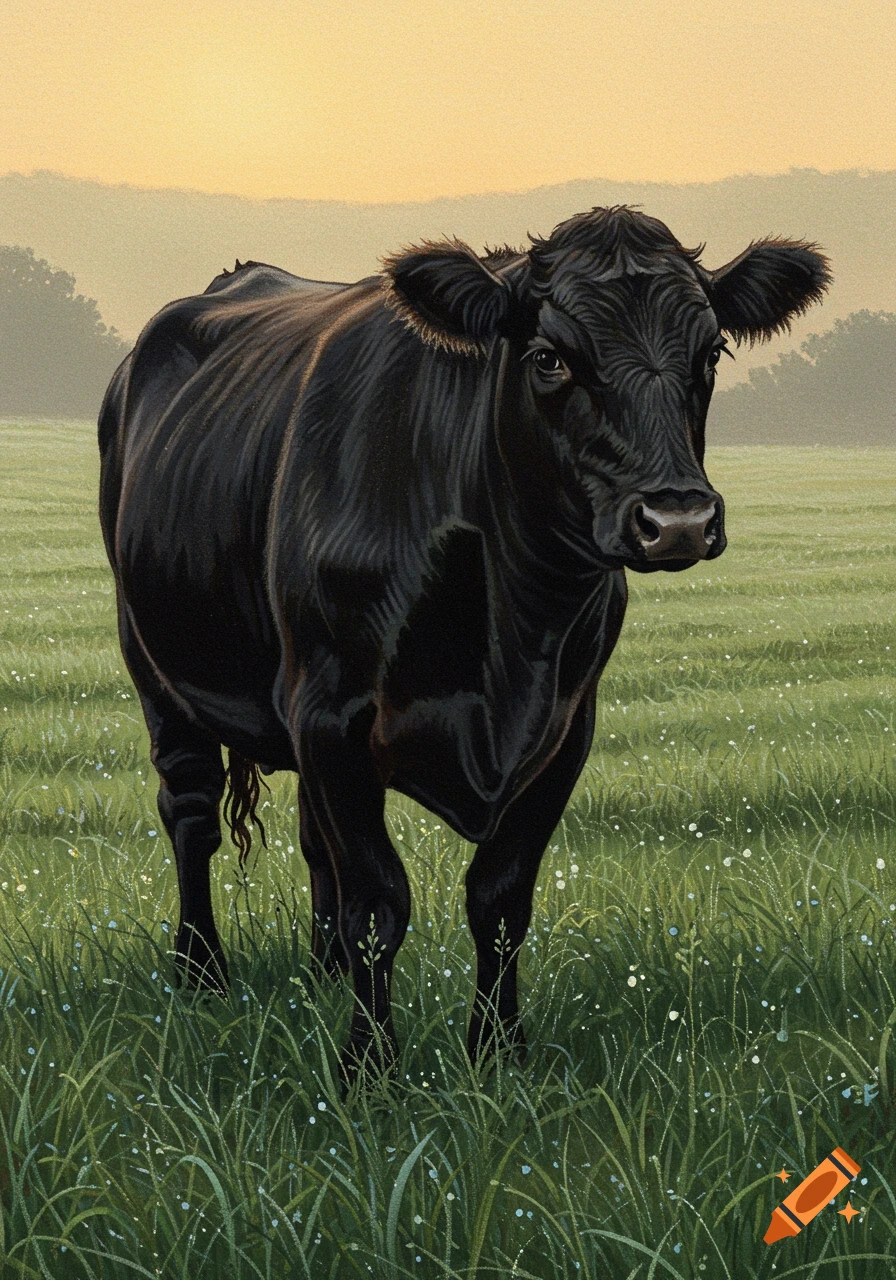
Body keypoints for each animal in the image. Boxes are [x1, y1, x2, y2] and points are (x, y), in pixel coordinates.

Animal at [98, 206, 829, 1082]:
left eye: (711, 352)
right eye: (550, 357)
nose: (678, 519)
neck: (508, 631)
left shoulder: (565, 728)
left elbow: (500, 898)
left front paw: (499, 1053)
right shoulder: (333, 712)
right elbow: (378, 901)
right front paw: (370, 1070)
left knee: (313, 843)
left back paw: (320, 977)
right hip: (153, 663)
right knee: (192, 813)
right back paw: (201, 970)